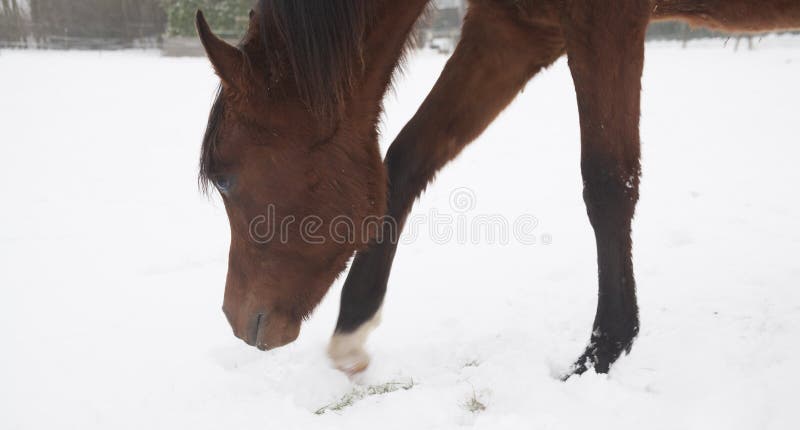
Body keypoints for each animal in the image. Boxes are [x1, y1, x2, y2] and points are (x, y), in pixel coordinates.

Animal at [196, 0, 800, 377]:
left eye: (225, 177)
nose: (235, 319)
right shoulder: (512, 30)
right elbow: (407, 158)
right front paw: (353, 327)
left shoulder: (605, 18)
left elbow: (607, 181)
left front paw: (604, 349)